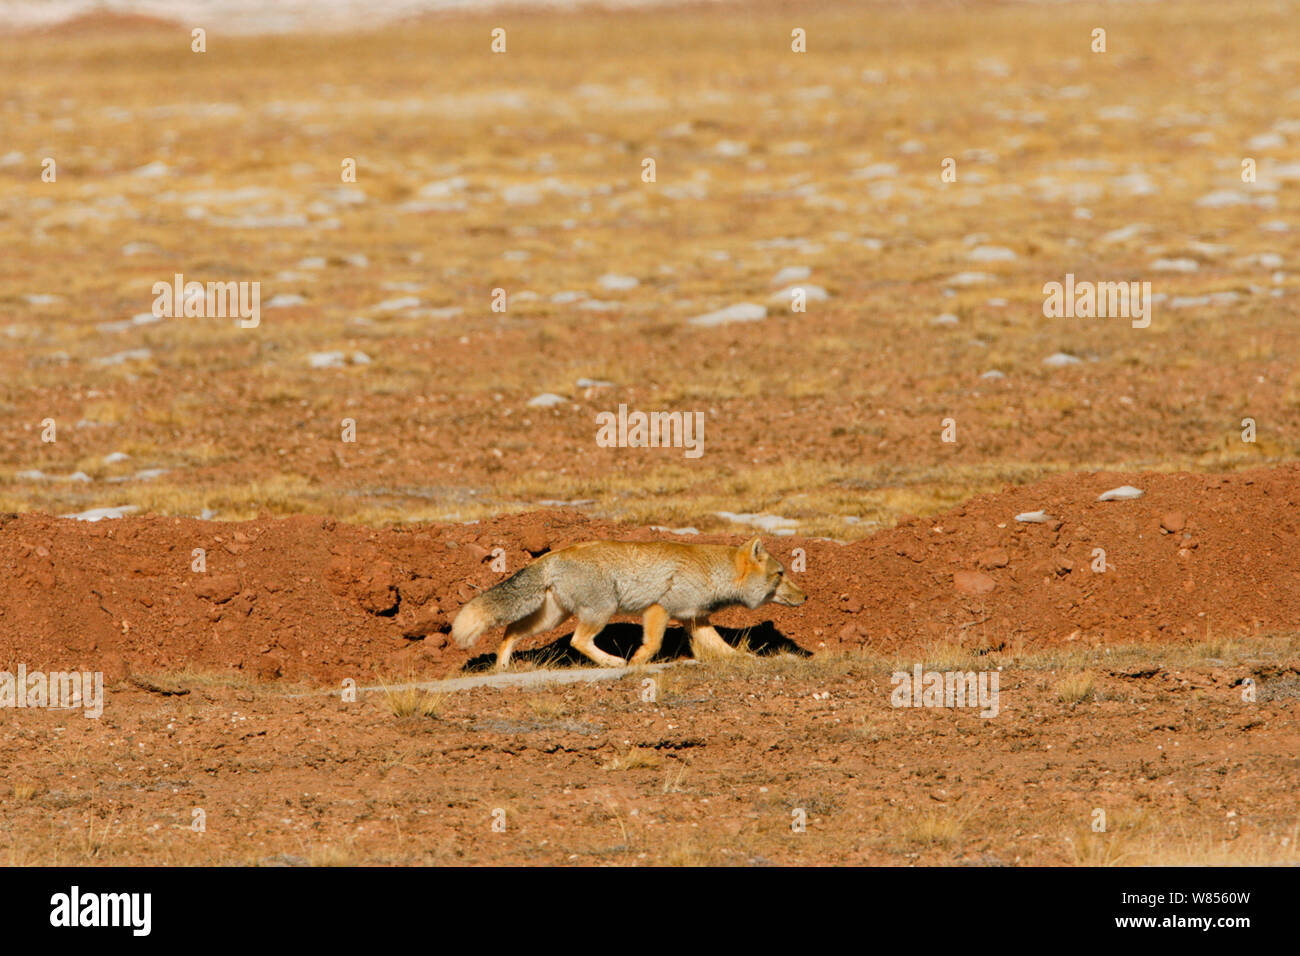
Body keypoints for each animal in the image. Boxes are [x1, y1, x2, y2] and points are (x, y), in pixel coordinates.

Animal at [451, 537, 807, 669]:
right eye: (780, 574)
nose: (805, 596)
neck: (713, 571)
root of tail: (554, 554)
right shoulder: (659, 608)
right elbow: (653, 644)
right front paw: (637, 663)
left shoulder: (694, 619)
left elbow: (725, 649)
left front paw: (750, 660)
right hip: (601, 611)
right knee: (578, 640)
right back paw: (612, 662)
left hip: (550, 618)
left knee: (509, 631)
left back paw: (501, 666)